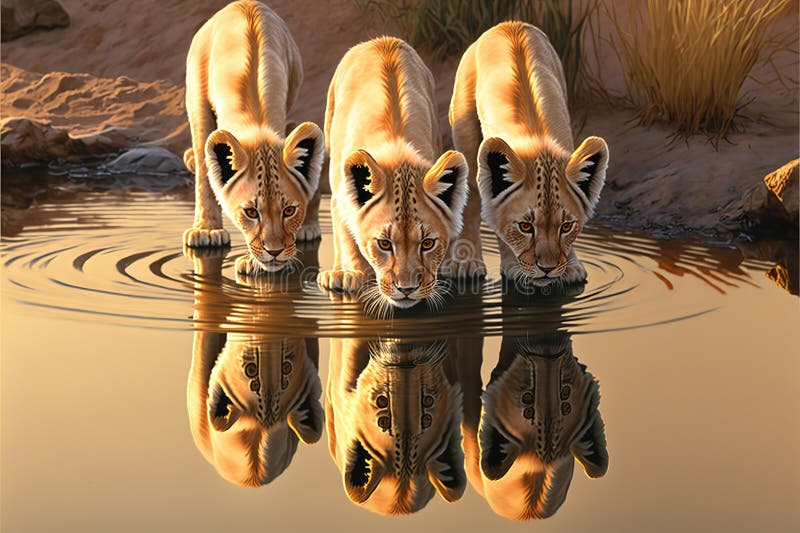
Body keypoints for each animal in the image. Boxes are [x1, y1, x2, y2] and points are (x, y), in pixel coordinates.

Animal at [183, 1, 324, 276]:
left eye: (289, 210)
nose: (275, 253)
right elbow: (205, 172)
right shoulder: (196, 102)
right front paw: (207, 231)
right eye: (250, 212)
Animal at [317, 37, 469, 310]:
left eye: (427, 243)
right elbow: (346, 232)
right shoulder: (340, 193)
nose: (407, 289)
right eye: (384, 244)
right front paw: (351, 274)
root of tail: (382, 40)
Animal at [450, 21, 609, 286]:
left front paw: (572, 266)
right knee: (470, 195)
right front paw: (513, 266)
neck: (538, 141)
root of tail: (506, 24)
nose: (547, 269)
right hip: (464, 127)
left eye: (566, 226)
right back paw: (466, 262)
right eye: (525, 227)